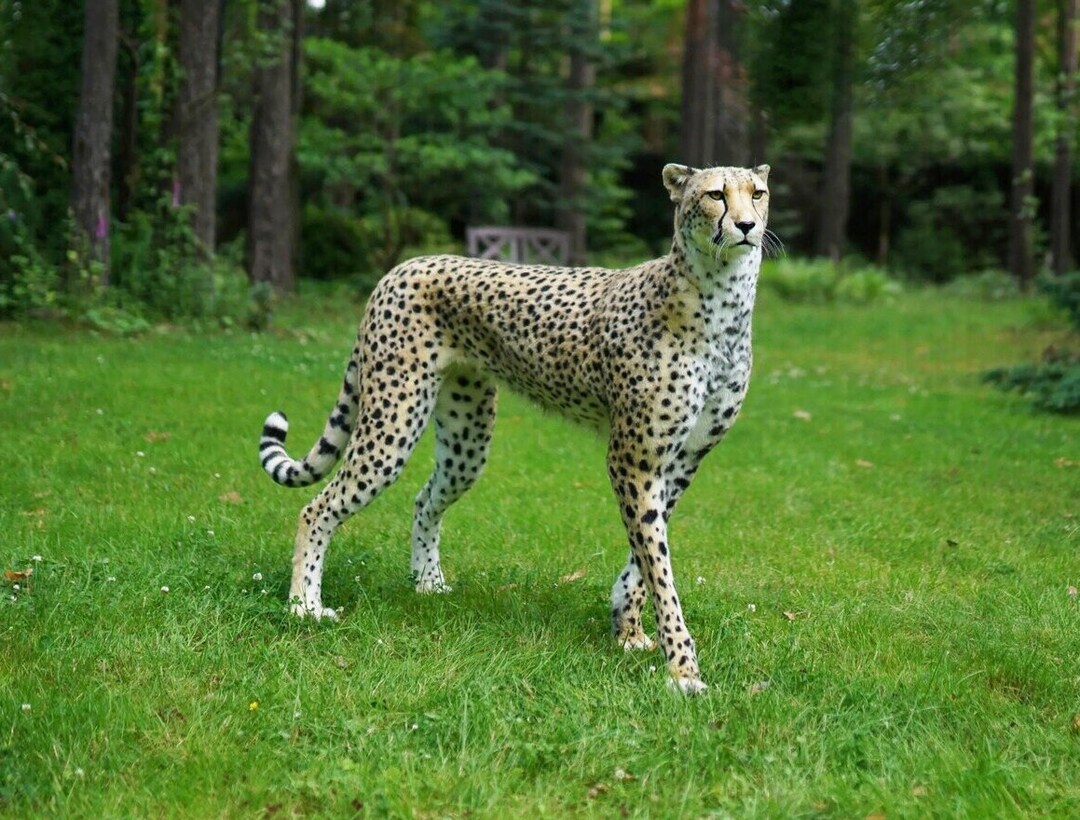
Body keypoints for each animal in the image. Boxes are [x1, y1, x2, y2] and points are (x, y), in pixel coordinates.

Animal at [258, 162, 774, 694]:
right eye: (715, 195)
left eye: (757, 193)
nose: (746, 226)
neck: (720, 299)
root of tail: (402, 267)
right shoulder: (633, 460)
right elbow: (659, 569)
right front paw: (682, 670)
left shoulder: (683, 461)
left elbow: (644, 557)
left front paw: (627, 629)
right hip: (392, 423)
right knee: (316, 508)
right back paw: (305, 606)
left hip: (466, 441)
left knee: (424, 500)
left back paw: (428, 585)